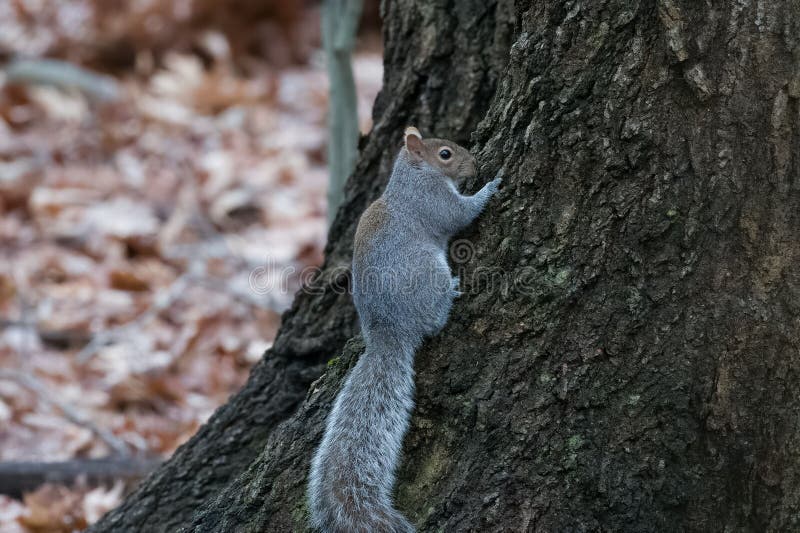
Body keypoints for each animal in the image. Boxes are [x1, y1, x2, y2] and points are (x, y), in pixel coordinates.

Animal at [308, 127, 502, 532]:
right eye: (445, 154)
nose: (474, 163)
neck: (411, 175)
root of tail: (388, 334)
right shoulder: (432, 201)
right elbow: (461, 214)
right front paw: (491, 186)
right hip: (428, 274)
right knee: (435, 318)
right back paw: (453, 293)